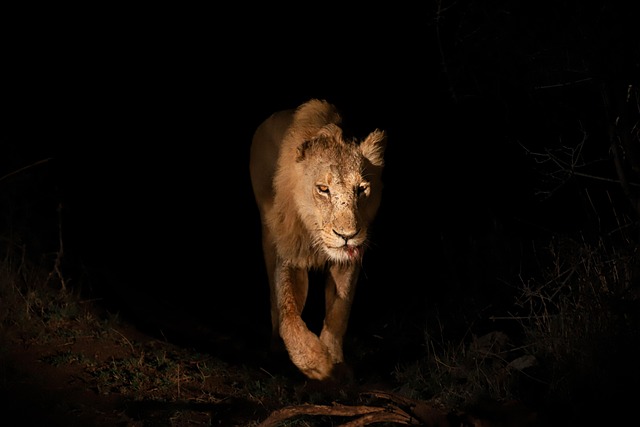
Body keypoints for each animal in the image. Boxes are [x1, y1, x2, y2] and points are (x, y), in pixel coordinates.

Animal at [249, 99, 386, 381]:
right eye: (323, 189)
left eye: (361, 189)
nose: (347, 236)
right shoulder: (290, 251)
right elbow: (288, 312)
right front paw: (315, 362)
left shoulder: (348, 261)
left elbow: (339, 311)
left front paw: (335, 361)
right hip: (267, 233)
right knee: (273, 299)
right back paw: (275, 348)